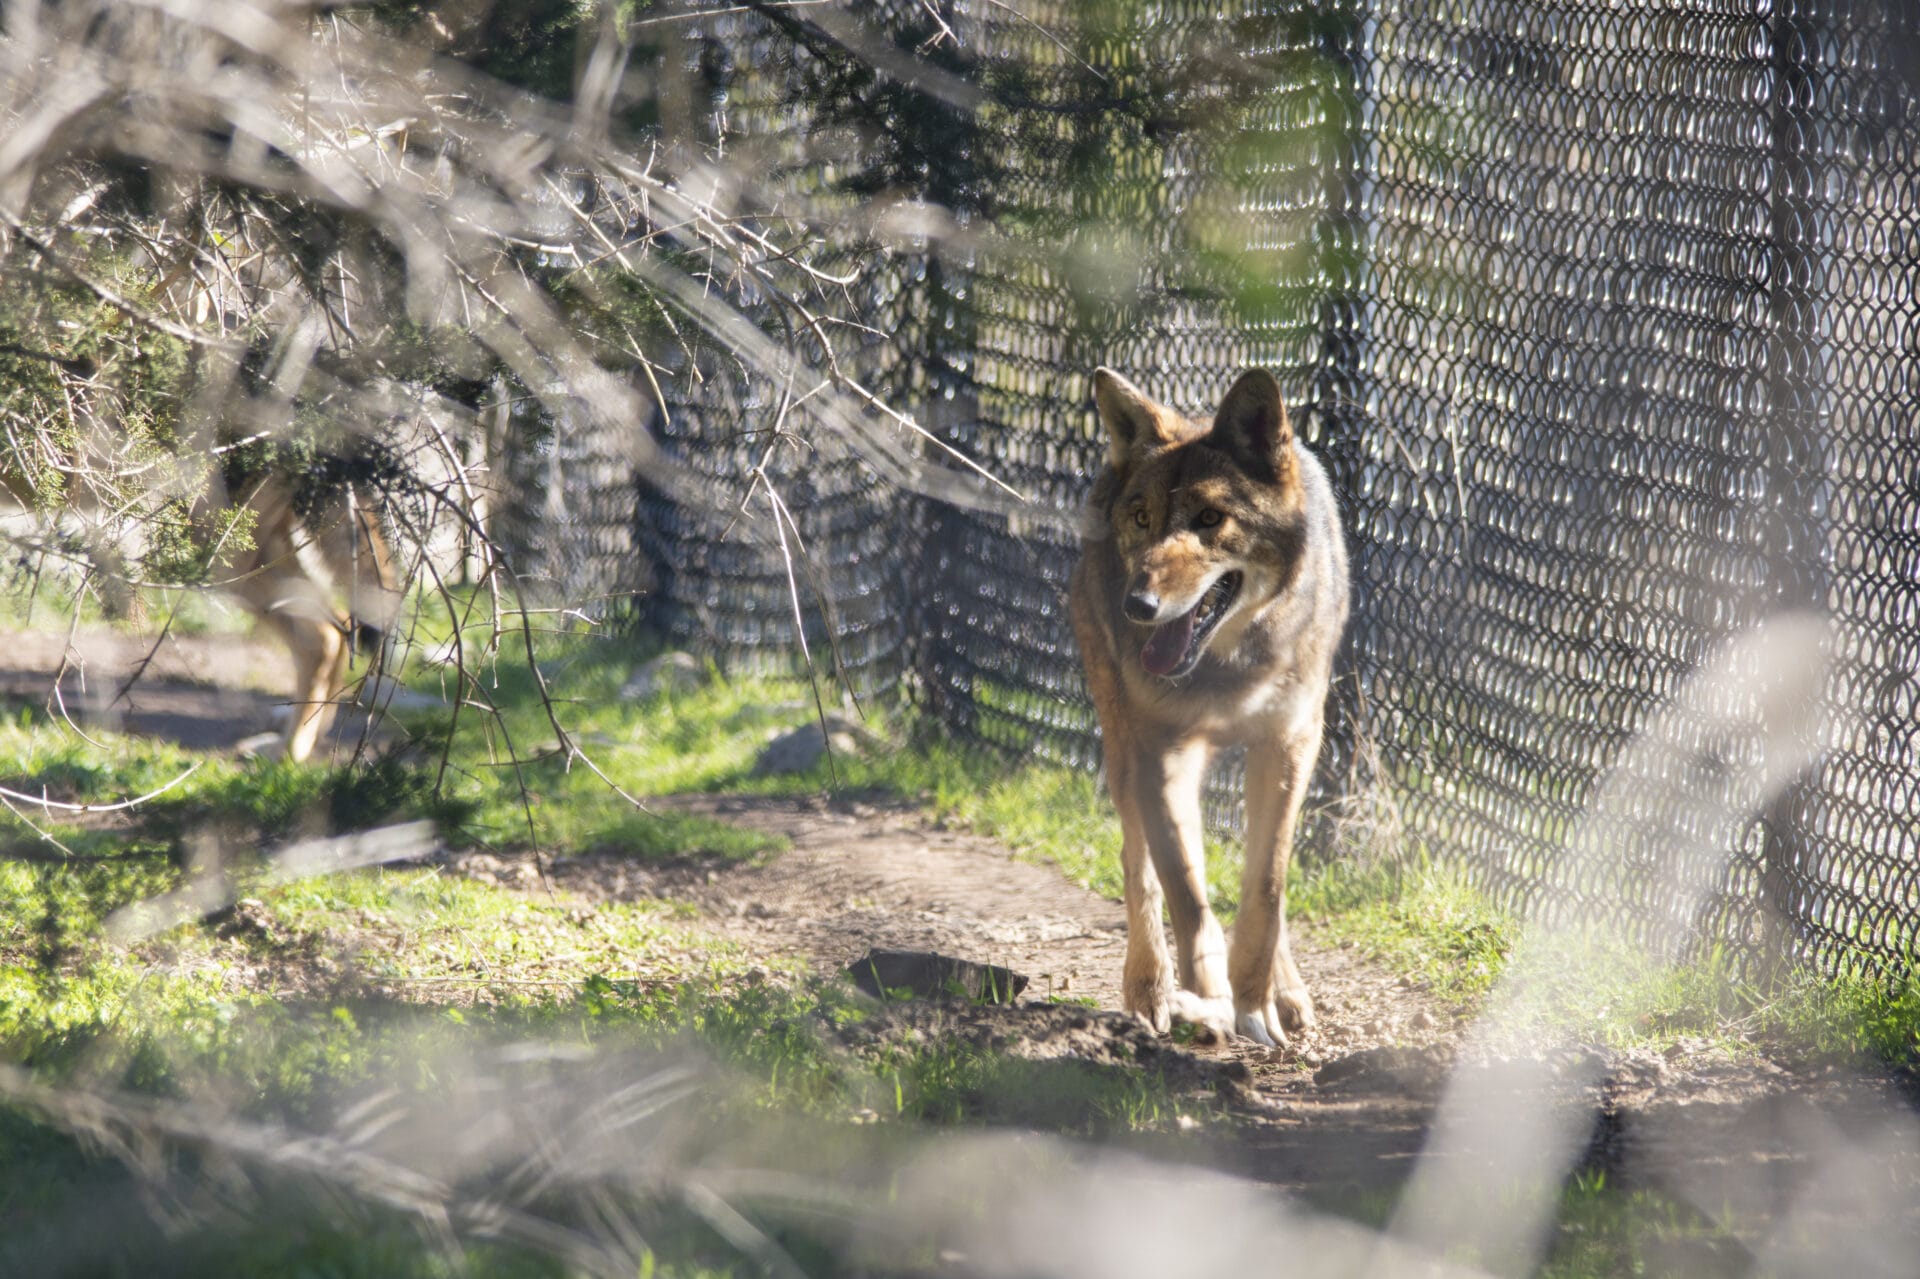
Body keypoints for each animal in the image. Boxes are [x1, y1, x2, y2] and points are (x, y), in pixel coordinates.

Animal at [1069, 367, 1348, 1047]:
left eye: (1210, 518)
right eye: (1142, 518)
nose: (1137, 605)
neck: (1226, 668)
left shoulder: (1290, 744)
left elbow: (1267, 887)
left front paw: (1255, 1000)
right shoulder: (1158, 754)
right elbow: (1185, 891)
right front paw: (1211, 996)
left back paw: (1286, 994)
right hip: (1125, 749)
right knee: (1140, 862)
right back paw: (1150, 990)